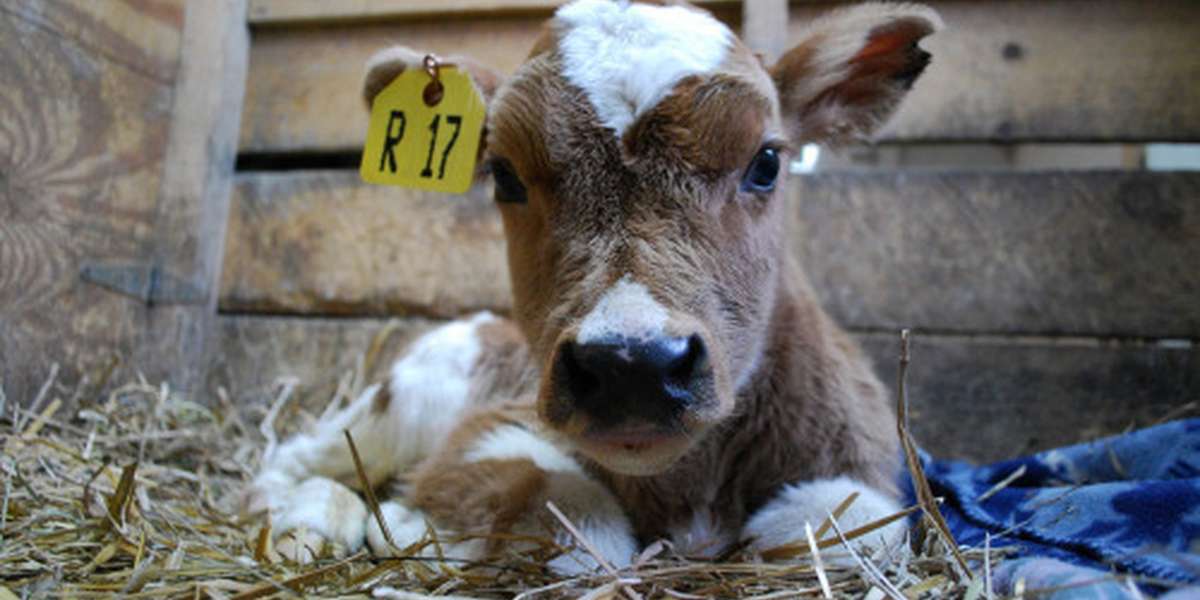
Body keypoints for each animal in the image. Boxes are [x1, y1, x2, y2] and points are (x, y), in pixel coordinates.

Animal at [244, 0, 941, 573]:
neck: (688, 491)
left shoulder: (862, 470)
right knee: (294, 458)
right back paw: (309, 524)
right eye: (504, 175)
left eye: (766, 162)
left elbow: (848, 530)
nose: (633, 366)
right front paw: (411, 519)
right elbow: (574, 523)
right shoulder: (492, 430)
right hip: (408, 398)